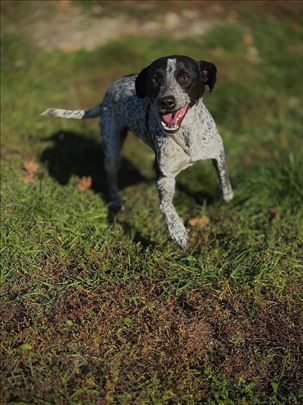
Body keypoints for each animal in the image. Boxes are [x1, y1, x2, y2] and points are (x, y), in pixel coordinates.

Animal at [41, 53, 234, 249]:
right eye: (155, 78)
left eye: (185, 76)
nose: (166, 101)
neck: (185, 133)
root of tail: (109, 91)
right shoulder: (164, 175)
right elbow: (166, 207)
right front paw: (178, 231)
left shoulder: (217, 152)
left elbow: (225, 182)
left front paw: (222, 194)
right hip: (111, 149)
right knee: (111, 178)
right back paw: (116, 202)